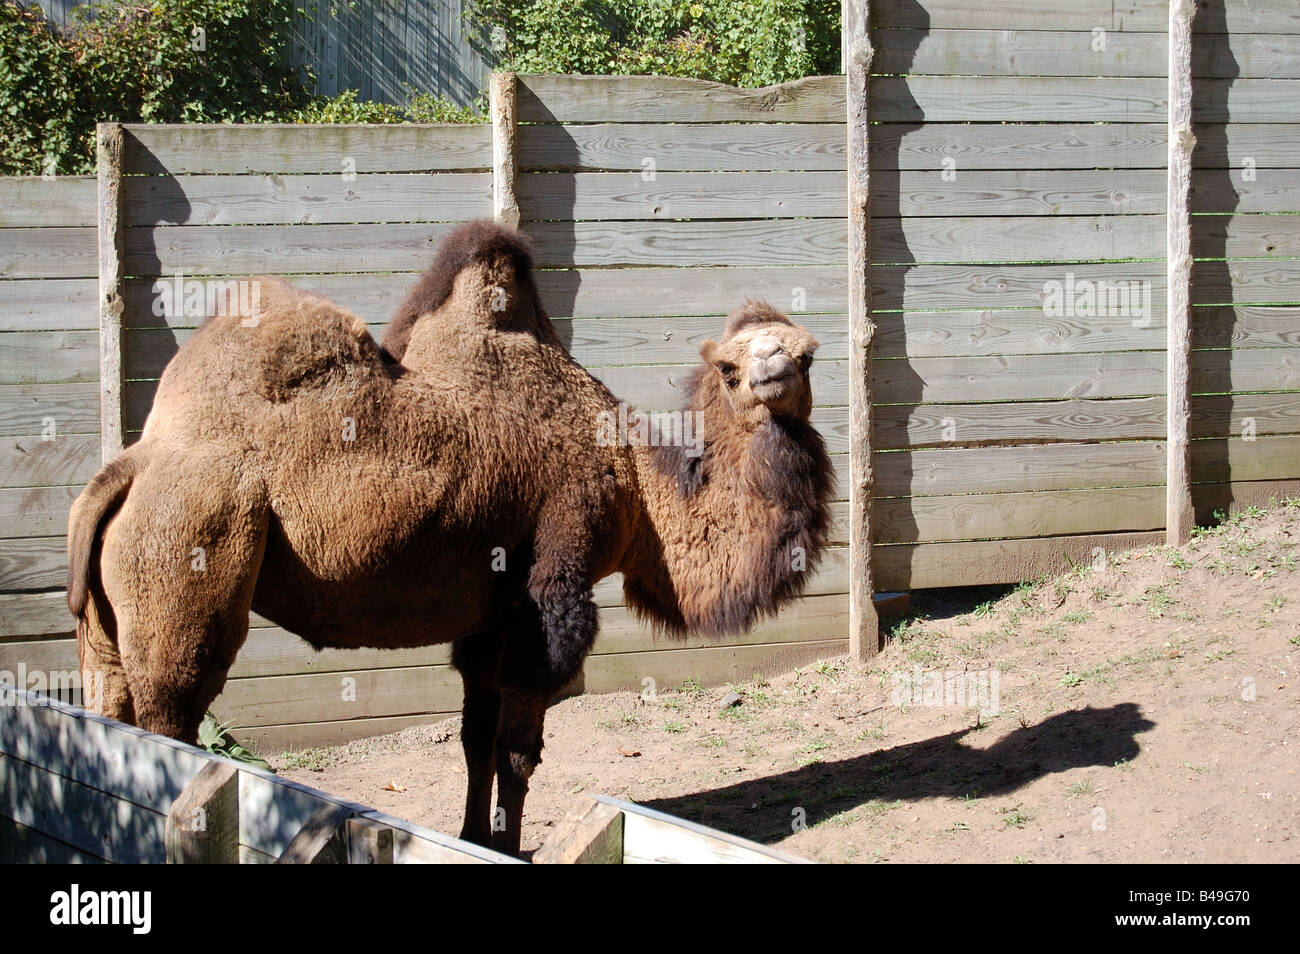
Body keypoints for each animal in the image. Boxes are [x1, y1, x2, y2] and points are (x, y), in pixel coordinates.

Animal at [67, 221, 833, 854]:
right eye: (730, 369)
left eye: (807, 356)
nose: (772, 371)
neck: (640, 492)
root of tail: (129, 468)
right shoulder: (552, 585)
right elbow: (519, 750)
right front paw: (507, 845)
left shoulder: (491, 608)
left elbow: (474, 739)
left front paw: (472, 837)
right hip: (187, 564)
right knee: (172, 716)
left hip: (108, 620)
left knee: (108, 701)